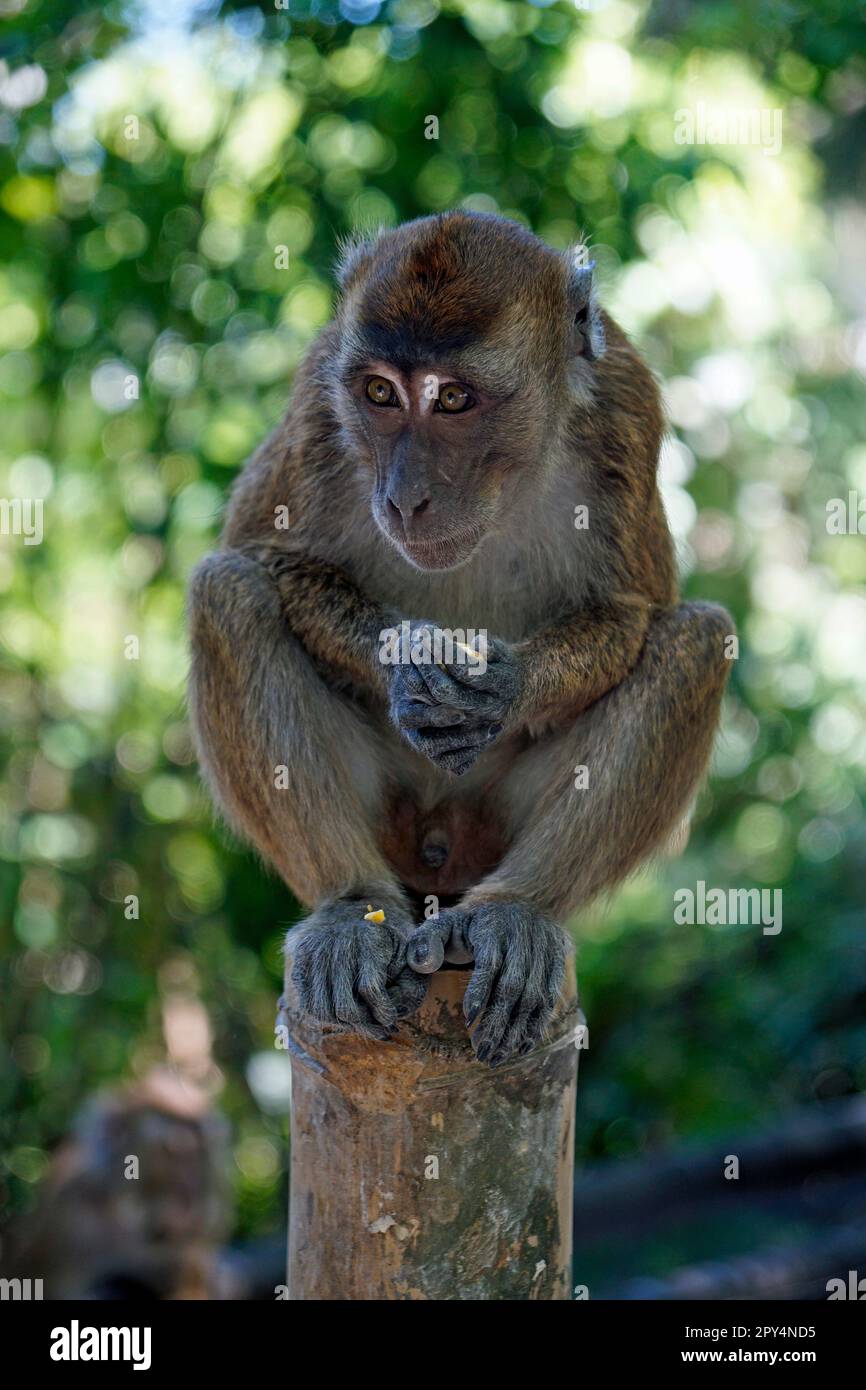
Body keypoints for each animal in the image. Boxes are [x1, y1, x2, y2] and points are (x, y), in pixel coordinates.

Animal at [187, 210, 733, 1067]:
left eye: (453, 399)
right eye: (380, 393)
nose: (405, 498)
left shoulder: (627, 407)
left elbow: (634, 609)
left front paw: (503, 687)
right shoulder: (317, 397)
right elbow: (261, 552)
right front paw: (407, 662)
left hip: (493, 824)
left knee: (701, 641)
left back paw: (515, 914)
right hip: (390, 818)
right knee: (226, 592)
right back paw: (350, 911)